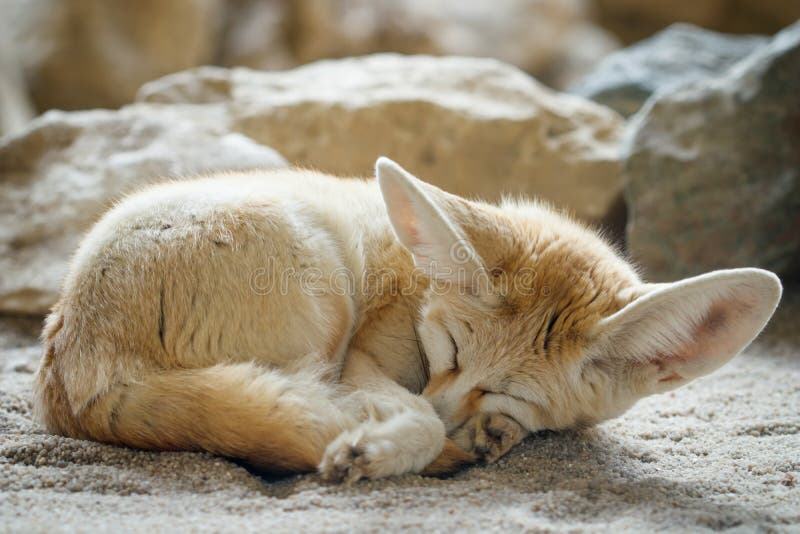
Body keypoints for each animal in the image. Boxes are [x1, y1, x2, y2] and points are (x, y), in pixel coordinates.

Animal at [33, 157, 782, 482]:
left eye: (508, 390)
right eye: (445, 349)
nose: (456, 415)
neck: (419, 282)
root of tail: (76, 375)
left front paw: (486, 432)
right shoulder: (364, 360)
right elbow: (411, 415)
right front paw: (389, 445)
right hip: (323, 300)